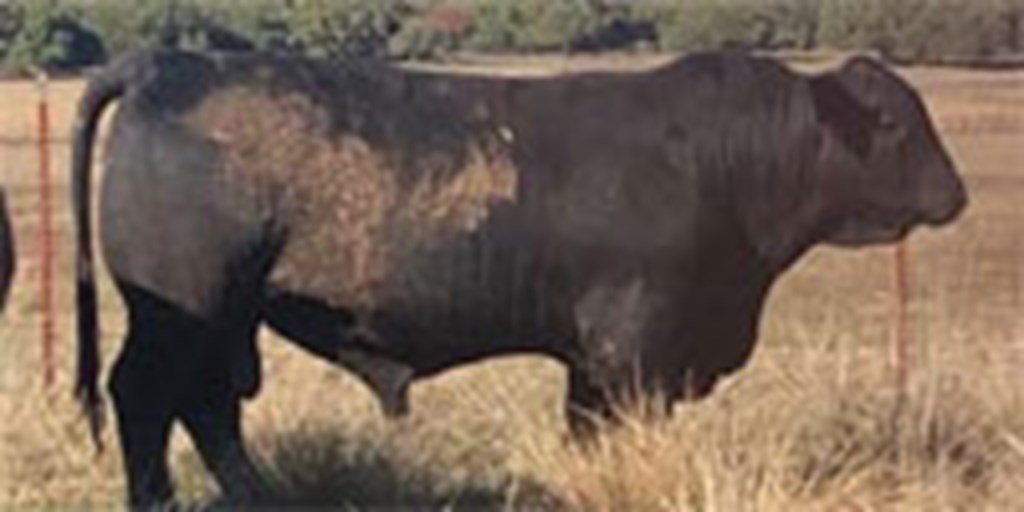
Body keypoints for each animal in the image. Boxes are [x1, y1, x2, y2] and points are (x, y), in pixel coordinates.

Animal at [70, 49, 966, 506]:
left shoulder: (599, 358)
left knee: (206, 408)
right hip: (180, 313)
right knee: (149, 398)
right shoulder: (632, 346)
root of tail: (165, 67)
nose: (954, 193)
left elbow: (590, 429)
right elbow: (619, 423)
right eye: (892, 121)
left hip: (224, 319)